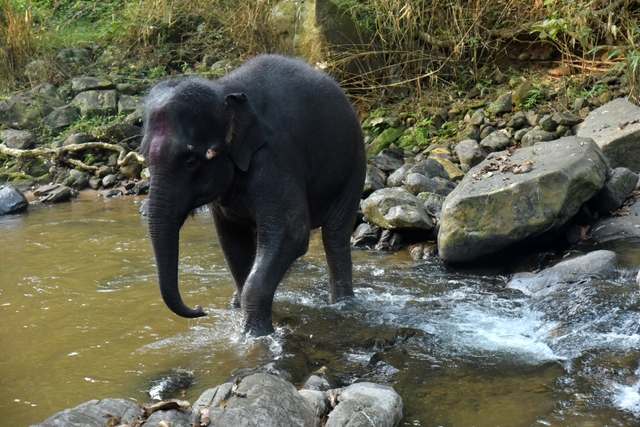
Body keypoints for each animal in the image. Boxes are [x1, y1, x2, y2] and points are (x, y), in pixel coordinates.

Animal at [140, 54, 366, 337]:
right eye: (144, 156)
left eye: (190, 160)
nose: (200, 309)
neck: (222, 89)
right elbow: (232, 241)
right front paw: (242, 314)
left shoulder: (276, 157)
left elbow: (292, 233)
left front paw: (254, 334)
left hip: (354, 166)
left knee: (335, 235)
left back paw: (343, 305)